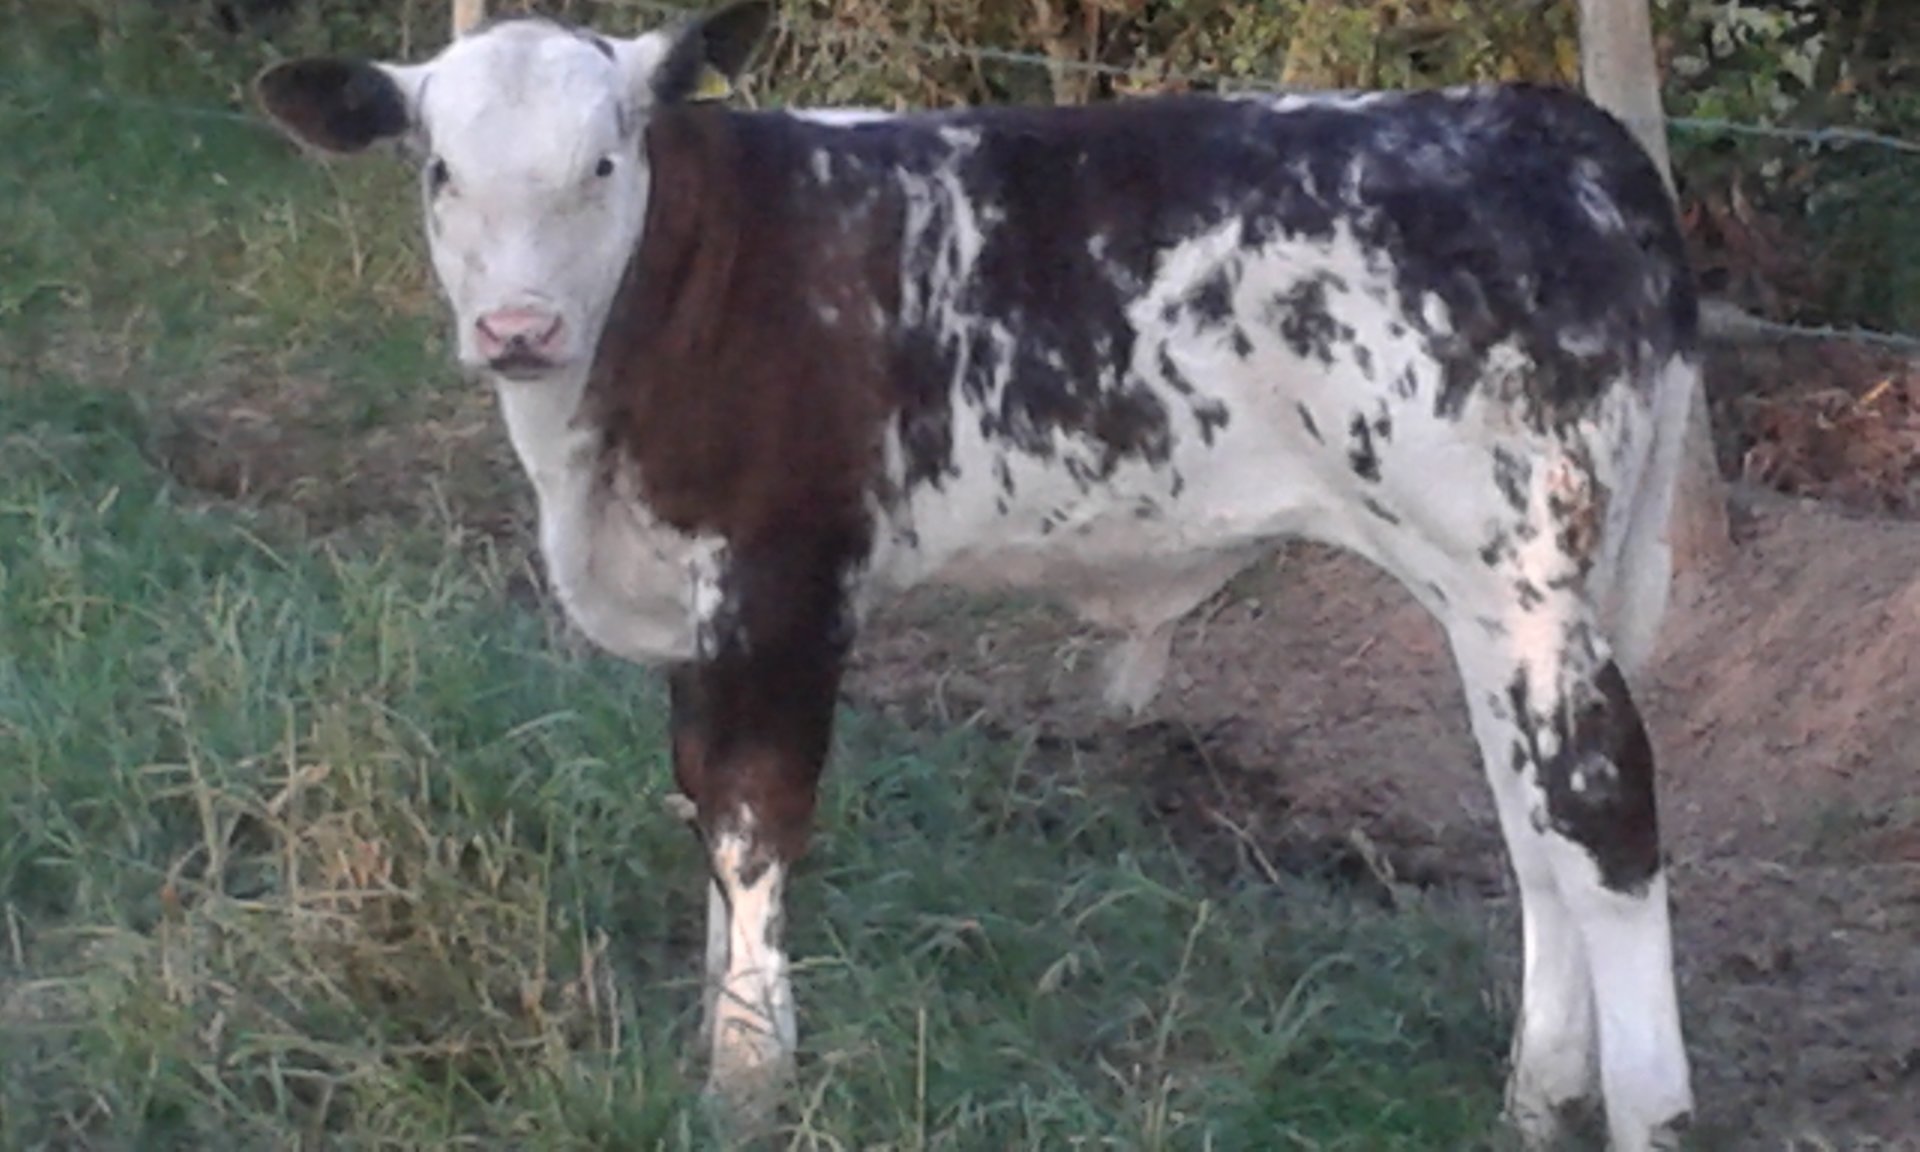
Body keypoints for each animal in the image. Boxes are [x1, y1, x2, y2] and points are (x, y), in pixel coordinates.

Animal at [254, 3, 1700, 1147]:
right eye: (441, 173)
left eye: (603, 161)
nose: (516, 329)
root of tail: (1556, 129)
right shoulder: (698, 611)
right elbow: (702, 806)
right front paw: (716, 1033)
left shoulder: (786, 585)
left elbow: (753, 820)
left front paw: (750, 1076)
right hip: (1494, 600)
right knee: (1532, 828)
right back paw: (1536, 1099)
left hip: (1522, 580)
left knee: (1604, 819)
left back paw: (1647, 1111)